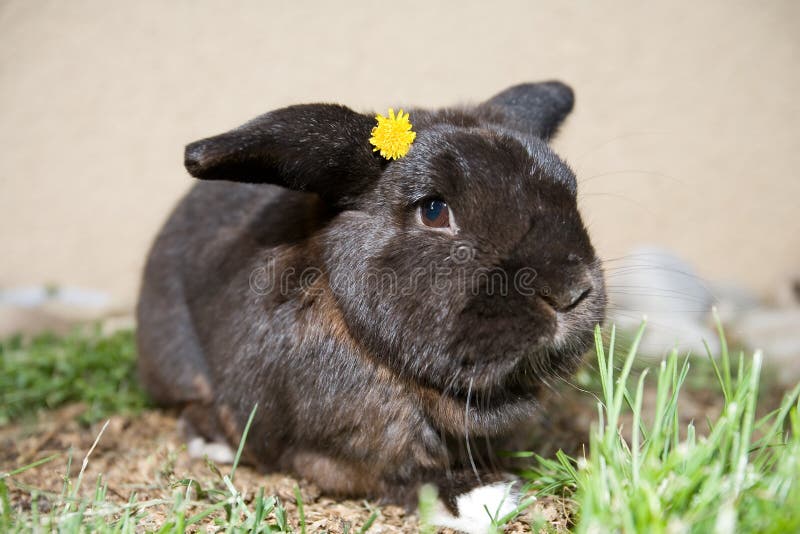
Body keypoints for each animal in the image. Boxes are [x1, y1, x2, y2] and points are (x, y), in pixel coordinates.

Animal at [137, 81, 606, 532]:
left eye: (570, 191)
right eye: (433, 210)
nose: (570, 291)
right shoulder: (337, 454)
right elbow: (405, 480)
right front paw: (489, 499)